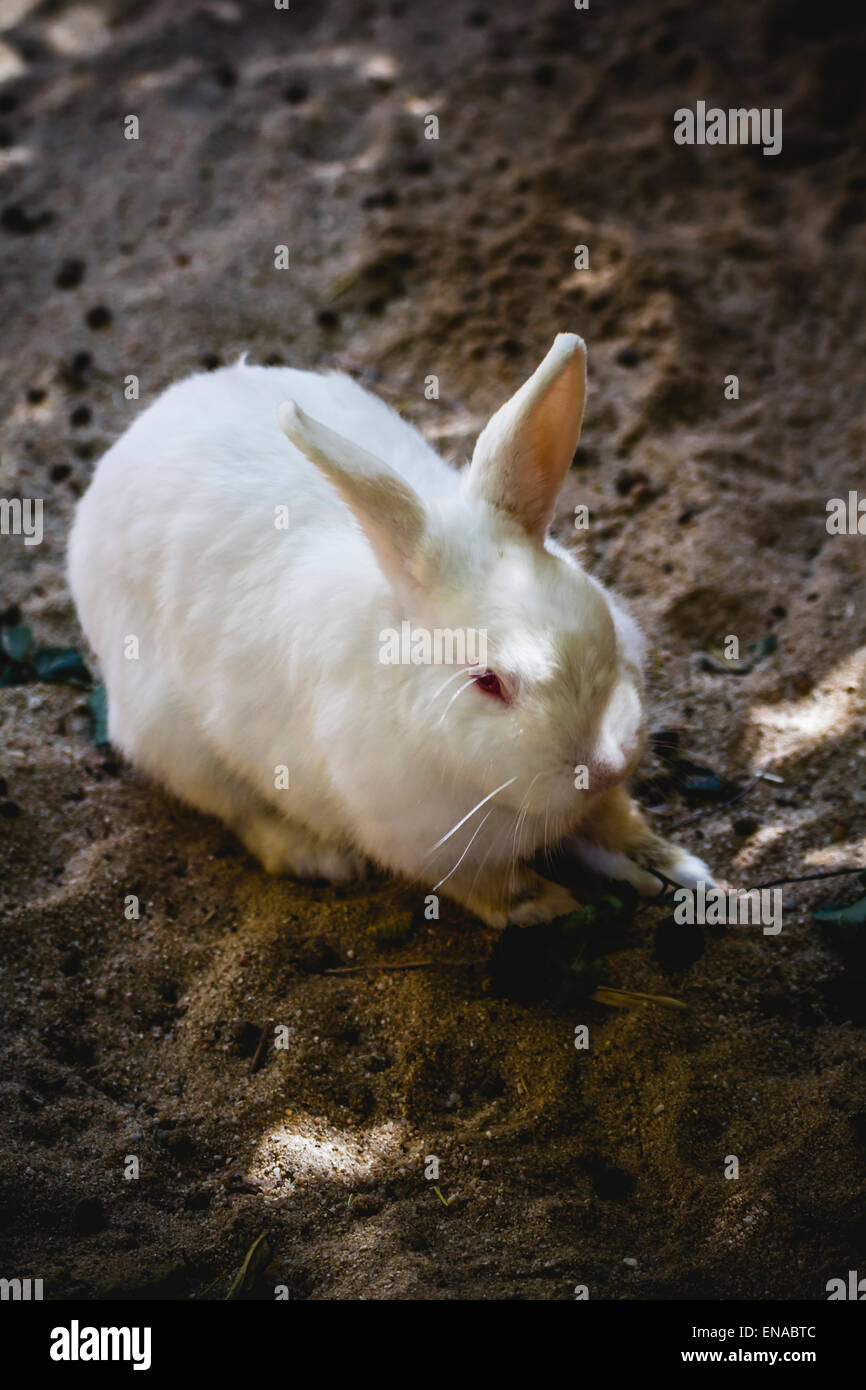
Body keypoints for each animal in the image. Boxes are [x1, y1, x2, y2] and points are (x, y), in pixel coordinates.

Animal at [68, 333, 712, 928]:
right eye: (488, 682)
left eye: (598, 620)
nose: (603, 767)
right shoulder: (422, 842)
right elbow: (491, 886)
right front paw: (546, 904)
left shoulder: (595, 805)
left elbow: (615, 825)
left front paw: (678, 869)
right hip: (178, 743)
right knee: (243, 812)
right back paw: (316, 856)